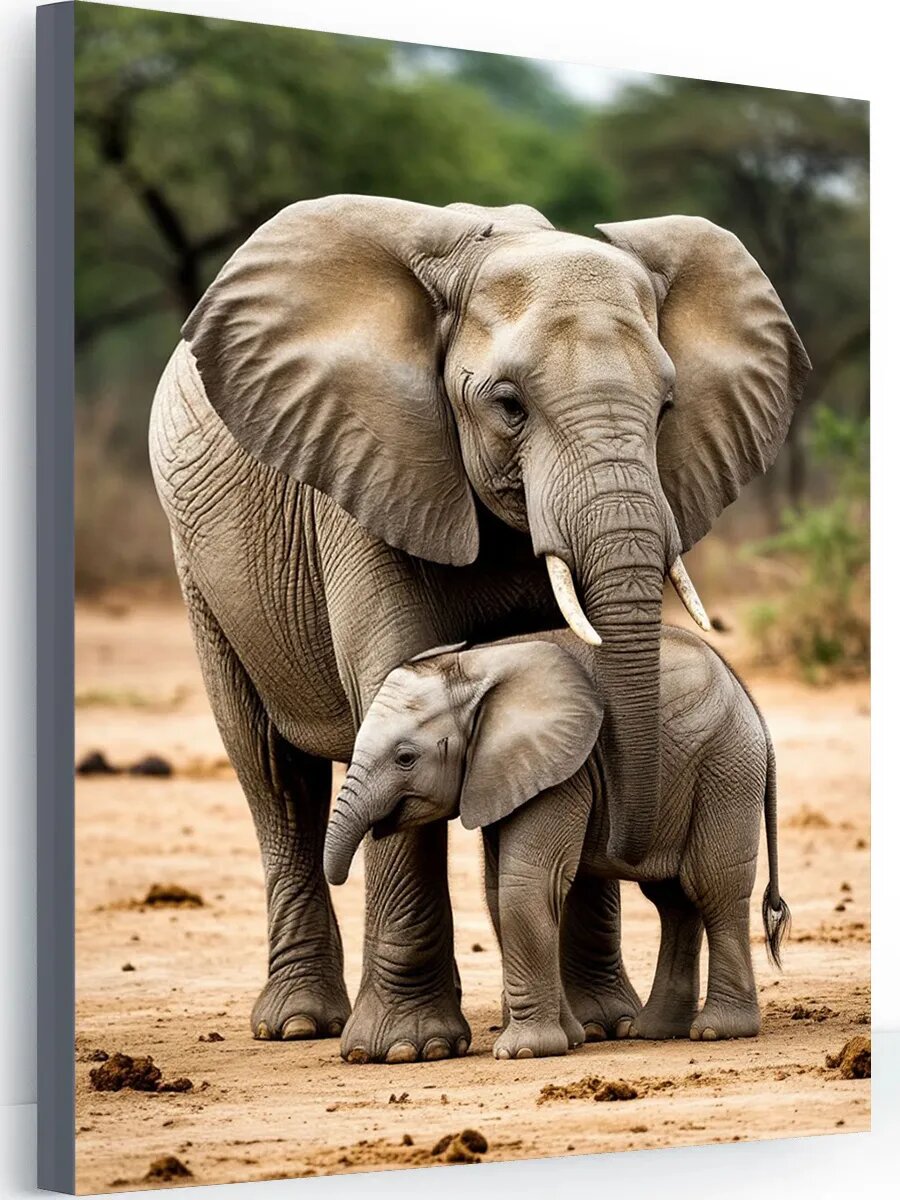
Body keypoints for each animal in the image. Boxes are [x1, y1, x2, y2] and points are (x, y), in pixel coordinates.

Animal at [323, 626, 789, 1059]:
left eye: (405, 758)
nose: (340, 877)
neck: (475, 668)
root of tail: (753, 707)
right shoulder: (501, 774)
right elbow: (499, 892)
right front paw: (572, 1038)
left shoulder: (564, 771)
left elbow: (525, 887)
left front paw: (523, 1052)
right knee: (673, 899)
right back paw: (657, 1031)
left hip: (726, 767)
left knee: (712, 887)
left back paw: (717, 1031)